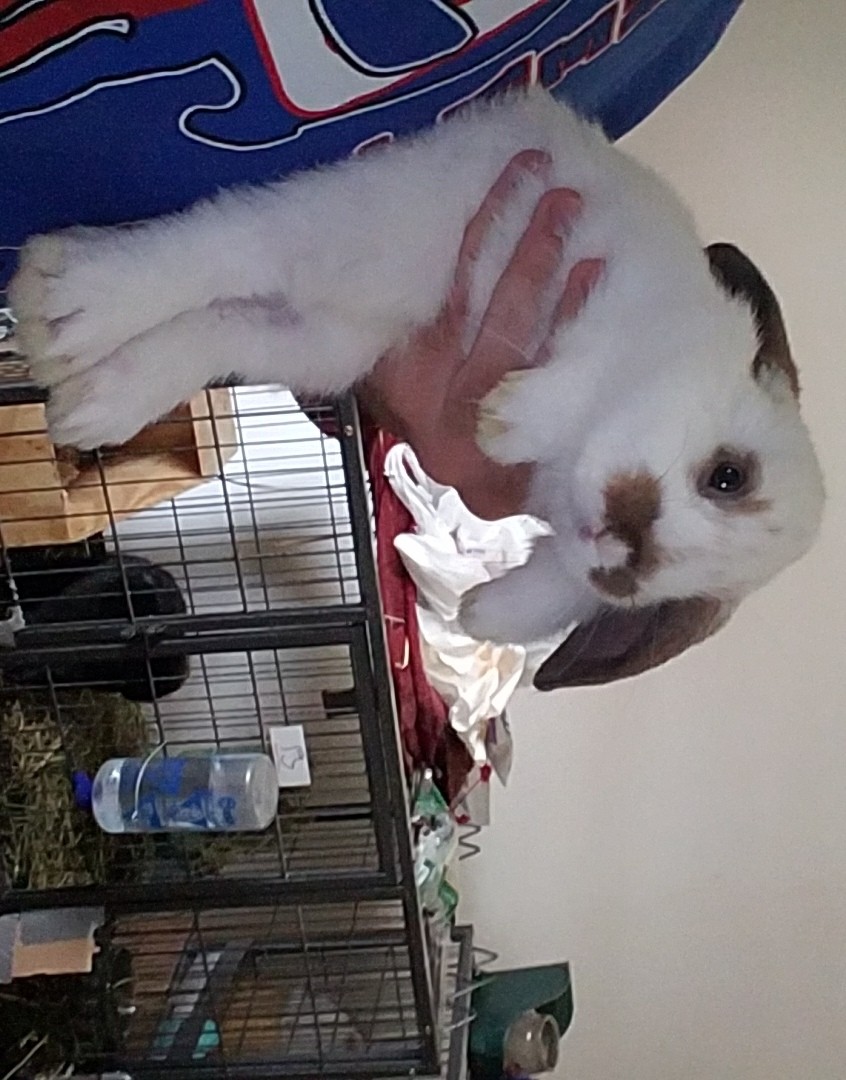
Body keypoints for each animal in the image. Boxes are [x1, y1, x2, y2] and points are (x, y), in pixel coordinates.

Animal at [7, 88, 825, 683]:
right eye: (728, 476)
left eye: (666, 595)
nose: (618, 554)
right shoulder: (624, 318)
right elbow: (576, 384)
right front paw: (508, 420)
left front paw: (481, 615)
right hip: (378, 221)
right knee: (232, 241)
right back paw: (67, 298)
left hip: (335, 332)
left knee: (226, 317)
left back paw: (85, 392)